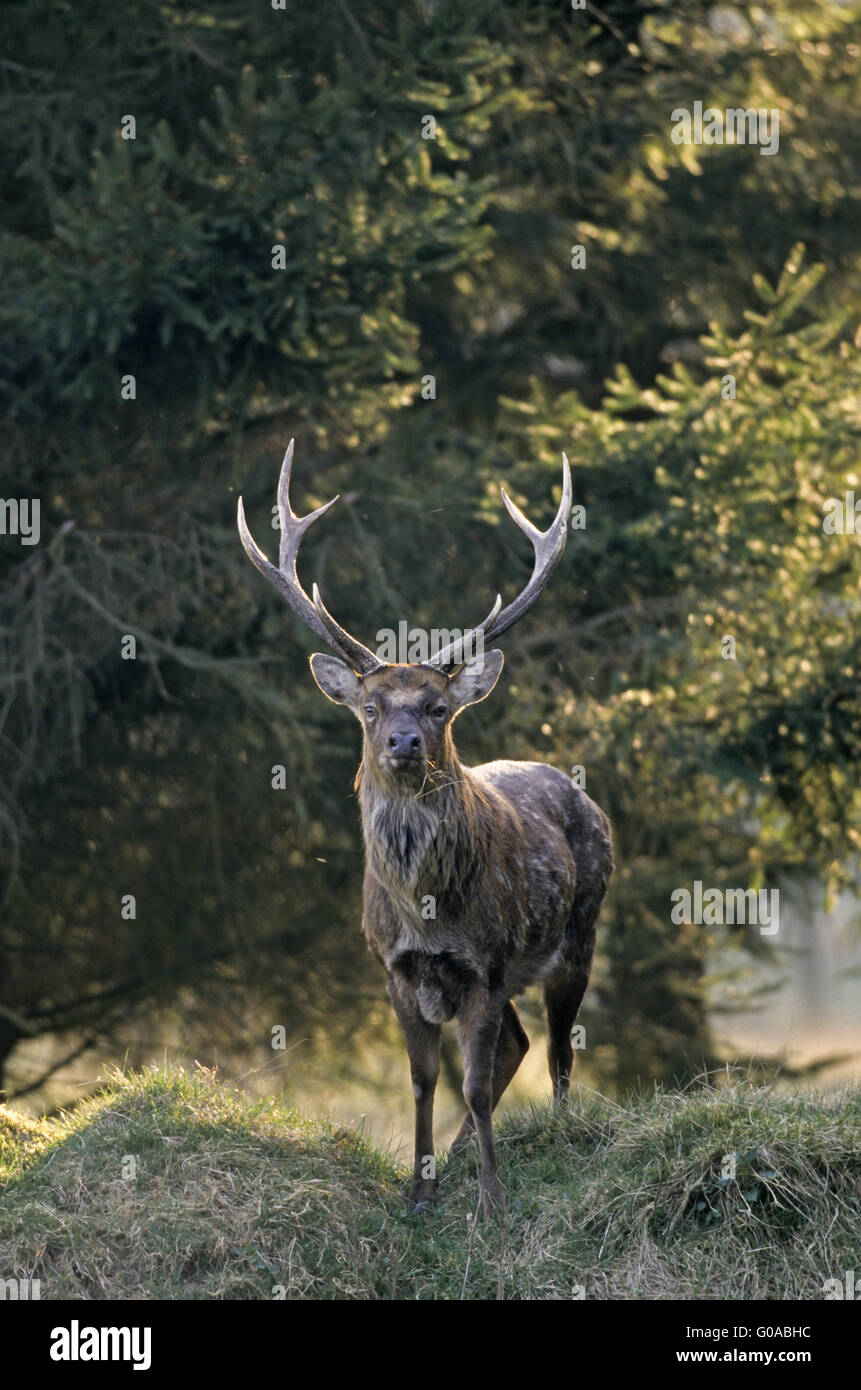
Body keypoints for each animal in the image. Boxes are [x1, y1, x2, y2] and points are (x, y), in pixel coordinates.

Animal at [238, 441, 613, 1217]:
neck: (427, 909)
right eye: (372, 706)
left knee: (558, 1048)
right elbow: (424, 1080)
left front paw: (492, 1200)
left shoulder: (487, 963)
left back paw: (558, 1132)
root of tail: (587, 801)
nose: (404, 742)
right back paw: (465, 1150)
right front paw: (419, 1191)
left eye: (438, 706)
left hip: (579, 930)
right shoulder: (395, 968)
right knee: (519, 1045)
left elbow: (472, 1081)